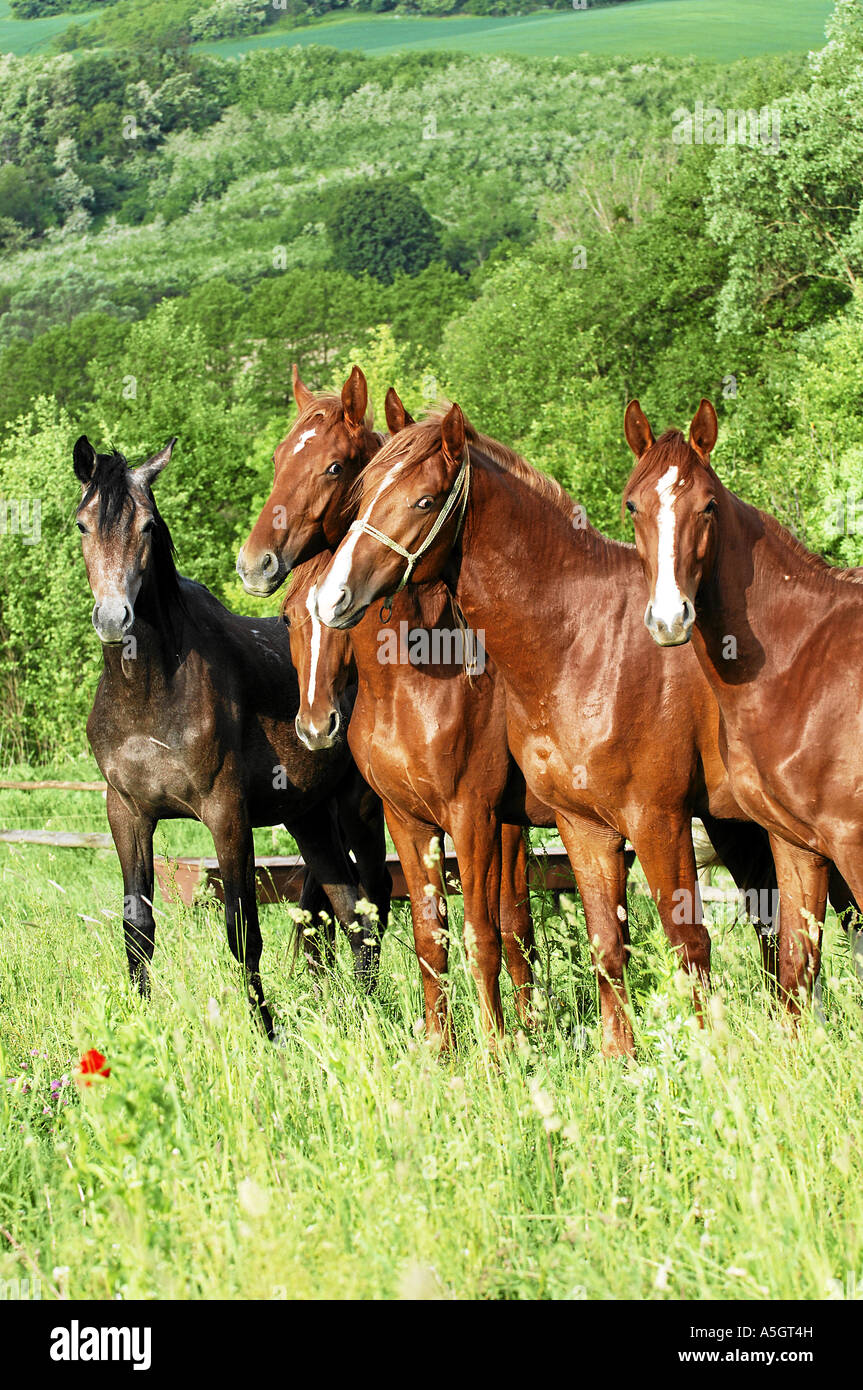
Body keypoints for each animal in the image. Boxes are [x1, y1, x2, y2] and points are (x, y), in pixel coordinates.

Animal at [73, 435, 391, 1037]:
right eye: (82, 524)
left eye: (147, 525)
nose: (114, 618)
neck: (151, 692)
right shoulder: (126, 812)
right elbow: (137, 927)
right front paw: (139, 1029)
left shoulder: (226, 812)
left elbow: (243, 931)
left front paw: (265, 1032)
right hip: (309, 817)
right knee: (346, 908)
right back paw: (358, 1011)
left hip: (360, 808)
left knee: (374, 903)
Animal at [238, 367, 559, 1046]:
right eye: (278, 458)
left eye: (334, 467)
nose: (254, 564)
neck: (416, 684)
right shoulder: (410, 818)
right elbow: (430, 936)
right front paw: (445, 1050)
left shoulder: (475, 817)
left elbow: (487, 930)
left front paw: (502, 1049)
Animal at [621, 398, 863, 1008]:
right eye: (633, 505)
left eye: (708, 505)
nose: (669, 619)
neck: (802, 662)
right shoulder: (797, 844)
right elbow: (796, 970)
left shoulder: (853, 842)